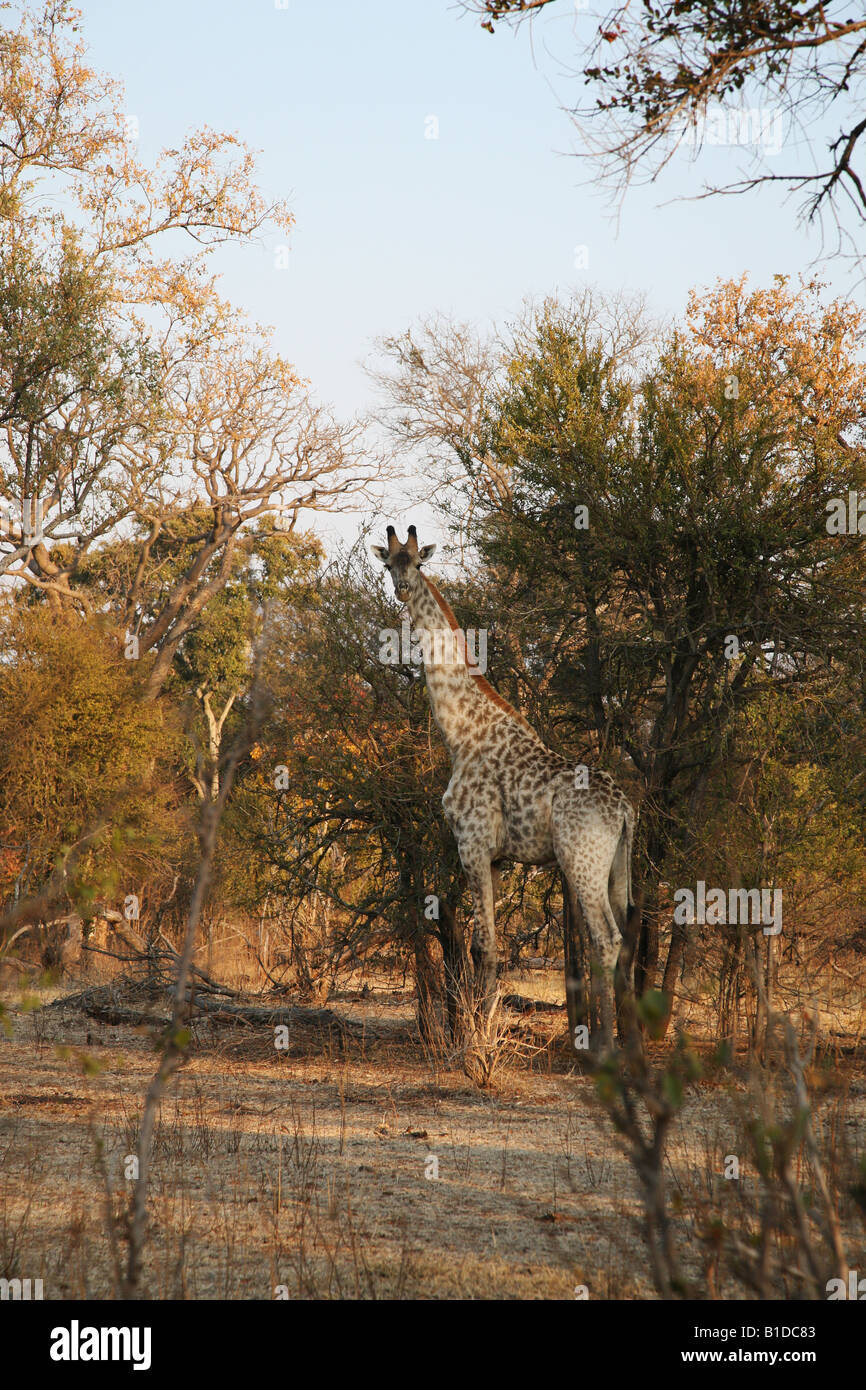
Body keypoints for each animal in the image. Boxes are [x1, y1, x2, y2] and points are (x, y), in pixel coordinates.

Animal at [372, 524, 636, 1049]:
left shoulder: (472, 842)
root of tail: (624, 810)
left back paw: (603, 1047)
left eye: (417, 562)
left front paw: (478, 1041)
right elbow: (482, 946)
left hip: (581, 861)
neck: (460, 732)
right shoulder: (496, 857)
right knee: (624, 936)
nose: (402, 589)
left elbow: (486, 946)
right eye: (389, 563)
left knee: (605, 938)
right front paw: (481, 1028)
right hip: (617, 866)